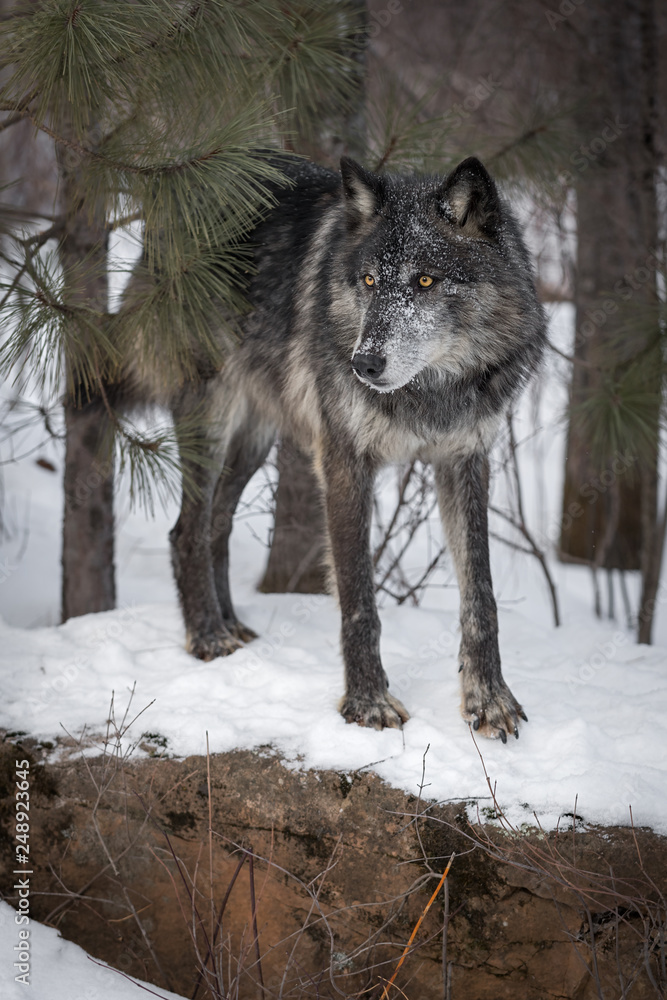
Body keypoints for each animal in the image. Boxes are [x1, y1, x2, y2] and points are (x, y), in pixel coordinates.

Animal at [150, 155, 545, 740]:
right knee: (186, 530)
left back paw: (230, 624)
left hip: (256, 438)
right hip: (213, 418)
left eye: (424, 280)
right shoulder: (343, 462)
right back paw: (207, 635)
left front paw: (489, 700)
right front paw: (367, 703)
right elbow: (359, 599)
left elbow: (482, 597)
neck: (430, 391)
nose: (364, 364)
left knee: (214, 525)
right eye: (369, 280)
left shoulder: (464, 460)